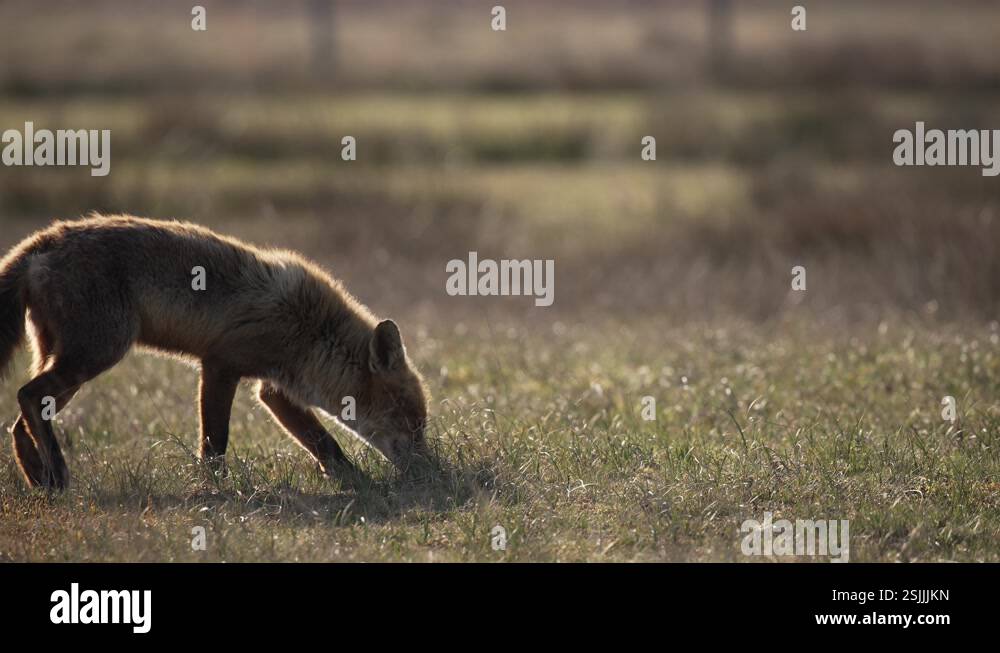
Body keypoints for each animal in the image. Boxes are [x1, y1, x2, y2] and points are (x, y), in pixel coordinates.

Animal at [0, 214, 429, 490]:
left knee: (22, 416)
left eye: (421, 425)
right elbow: (215, 442)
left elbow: (324, 443)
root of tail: (43, 240)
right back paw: (55, 472)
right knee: (27, 396)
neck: (311, 329)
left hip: (70, 364)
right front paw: (215, 490)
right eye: (410, 421)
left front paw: (354, 480)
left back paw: (39, 477)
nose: (430, 471)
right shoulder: (221, 364)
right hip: (96, 354)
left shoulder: (274, 389)